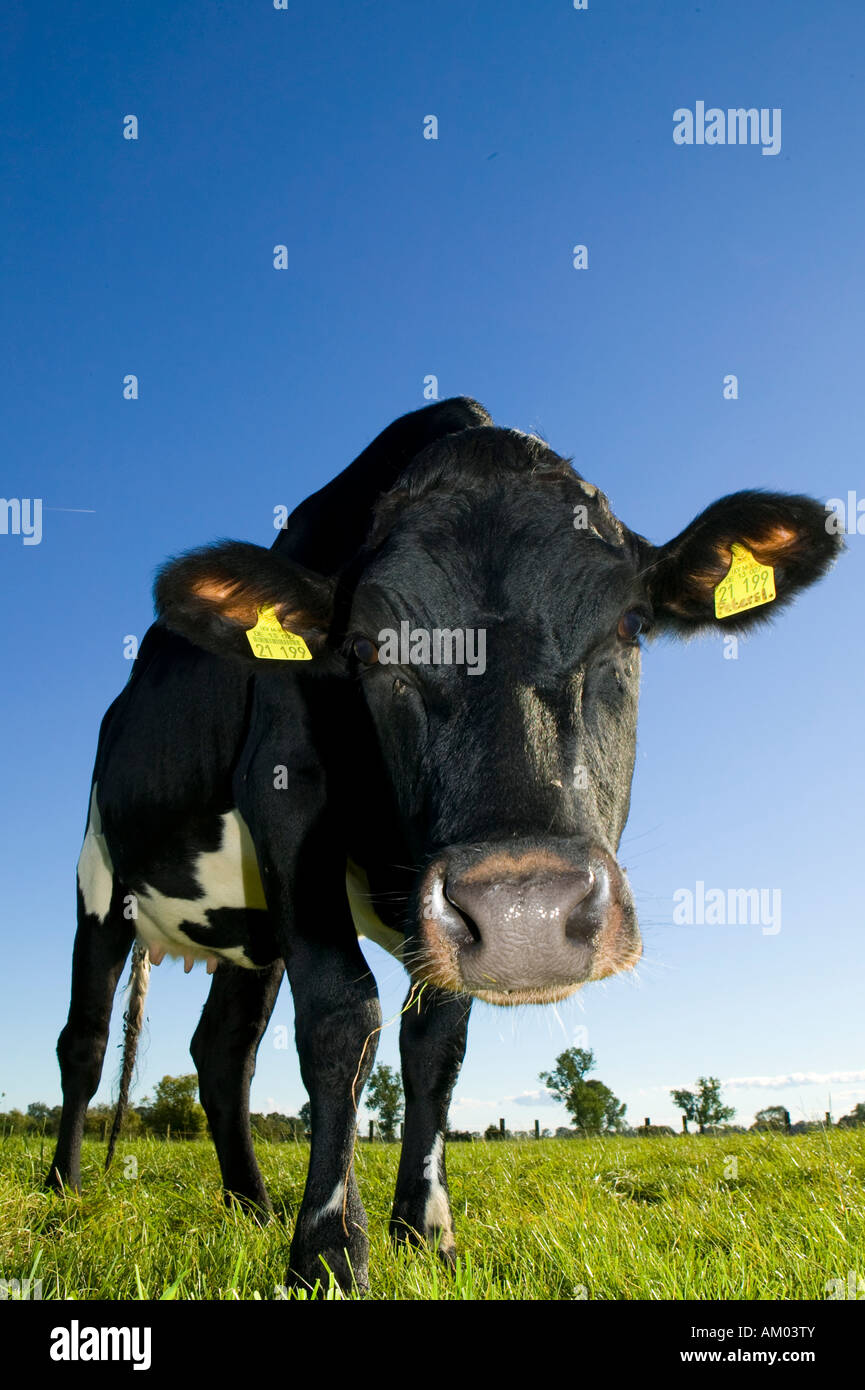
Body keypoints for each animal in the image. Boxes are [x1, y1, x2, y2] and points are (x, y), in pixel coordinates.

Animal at [47, 397, 840, 1292]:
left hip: (251, 932)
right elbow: (341, 1016)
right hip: (99, 881)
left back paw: (249, 1205)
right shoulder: (285, 792)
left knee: (221, 1054)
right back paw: (64, 1190)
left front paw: (424, 1231)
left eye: (630, 625)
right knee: (84, 1040)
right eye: (366, 648)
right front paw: (330, 1251)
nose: (526, 912)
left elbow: (435, 1043)